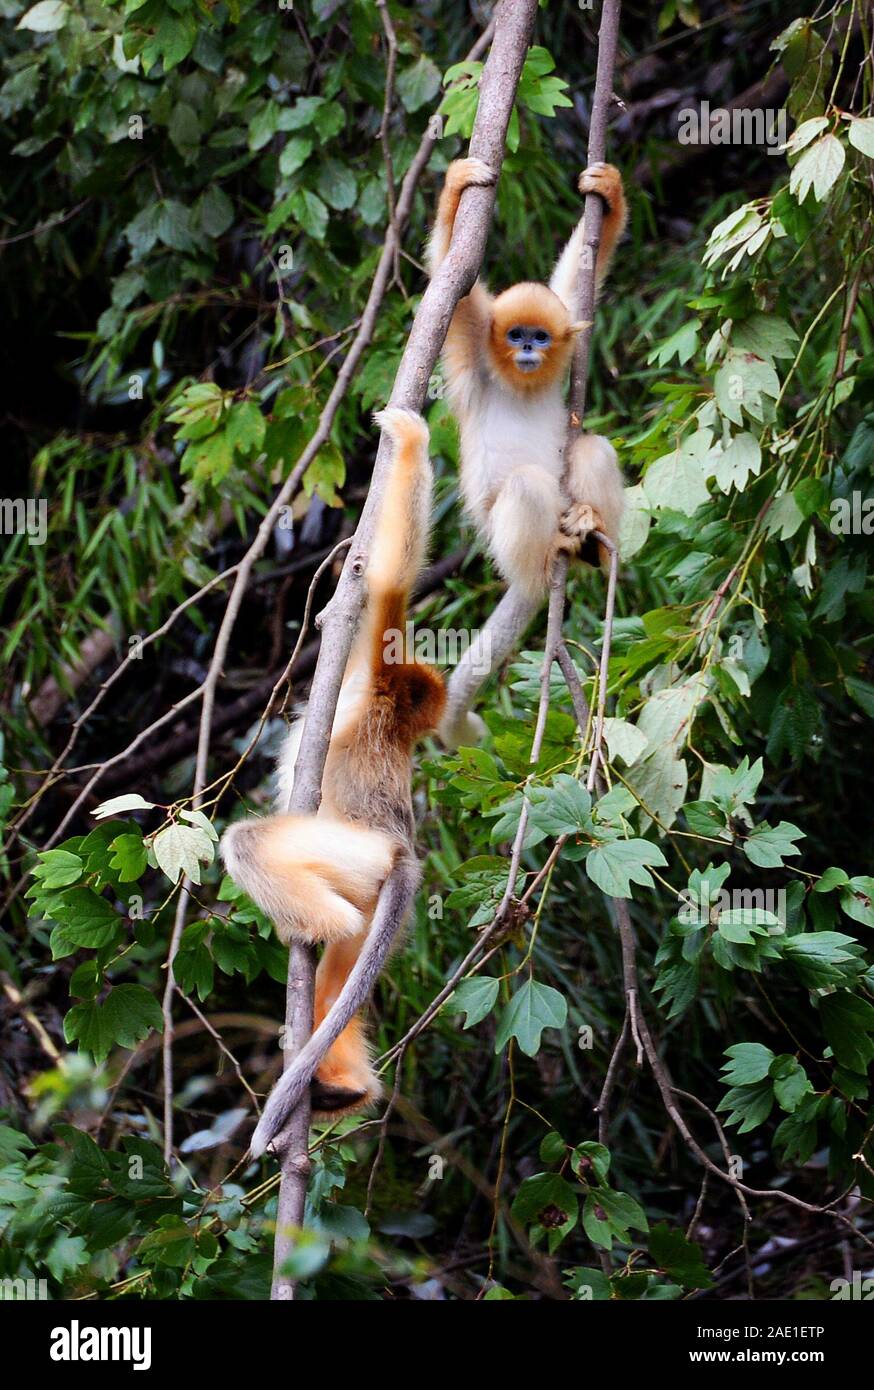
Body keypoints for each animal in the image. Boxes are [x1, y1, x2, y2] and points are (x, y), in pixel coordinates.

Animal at [220, 408, 445, 1154]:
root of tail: (402, 853)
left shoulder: (379, 674)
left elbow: (391, 581)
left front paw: (409, 438)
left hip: (352, 853)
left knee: (251, 847)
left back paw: (314, 928)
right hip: (374, 897)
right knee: (342, 979)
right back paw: (343, 1086)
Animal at [427, 157, 628, 601]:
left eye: (541, 336)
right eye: (516, 335)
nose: (529, 349)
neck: (519, 385)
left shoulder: (567, 321)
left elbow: (578, 281)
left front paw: (609, 194)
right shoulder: (473, 346)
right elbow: (454, 275)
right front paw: (456, 187)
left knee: (592, 449)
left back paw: (591, 535)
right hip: (499, 538)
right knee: (525, 485)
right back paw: (549, 558)